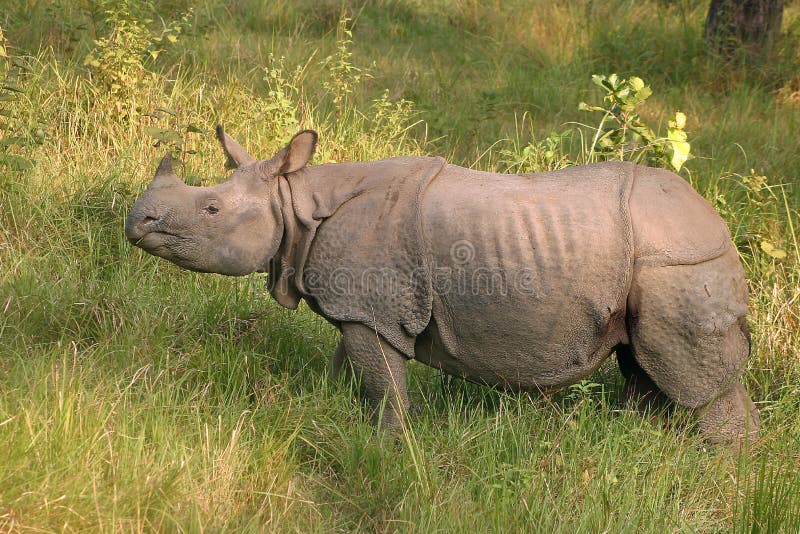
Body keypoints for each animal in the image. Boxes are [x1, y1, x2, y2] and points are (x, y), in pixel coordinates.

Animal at [125, 126, 760, 445]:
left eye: (209, 210)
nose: (137, 223)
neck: (295, 202)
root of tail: (721, 225)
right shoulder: (363, 307)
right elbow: (349, 365)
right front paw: (328, 405)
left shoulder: (373, 310)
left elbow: (386, 387)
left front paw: (386, 446)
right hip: (656, 263)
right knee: (645, 366)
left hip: (678, 264)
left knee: (692, 380)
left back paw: (727, 472)